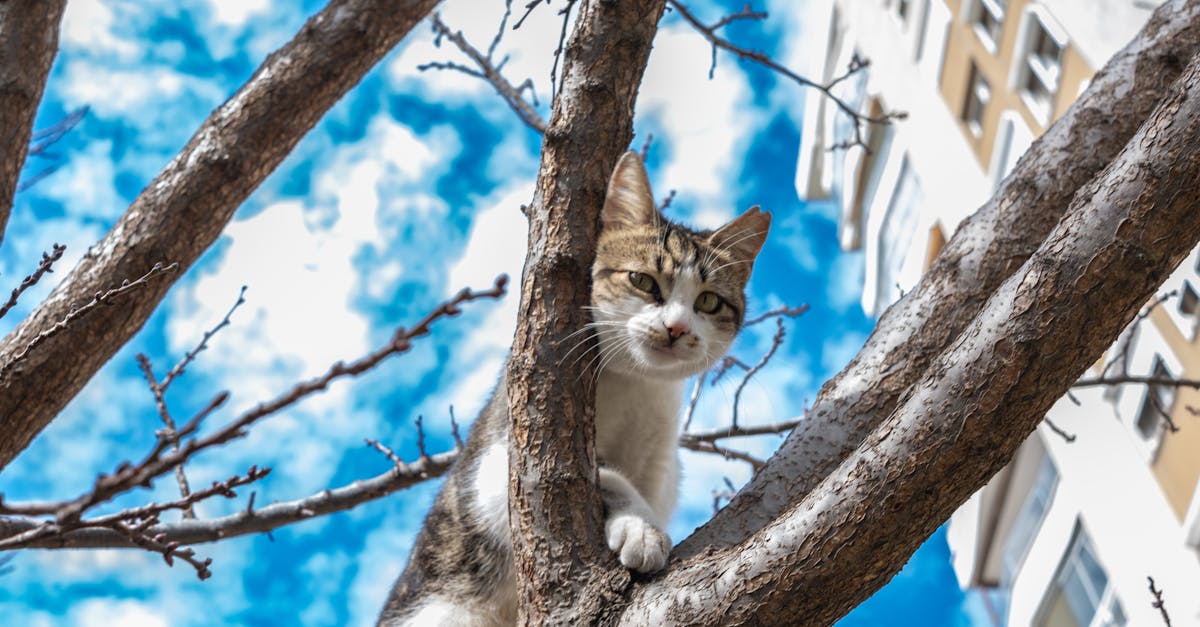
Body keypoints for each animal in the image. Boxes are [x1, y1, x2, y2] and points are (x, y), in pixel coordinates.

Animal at [379, 152, 772, 624]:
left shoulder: (663, 469)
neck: (632, 386)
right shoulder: (497, 467)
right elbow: (602, 473)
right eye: (642, 281)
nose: (676, 328)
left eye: (709, 302)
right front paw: (642, 529)